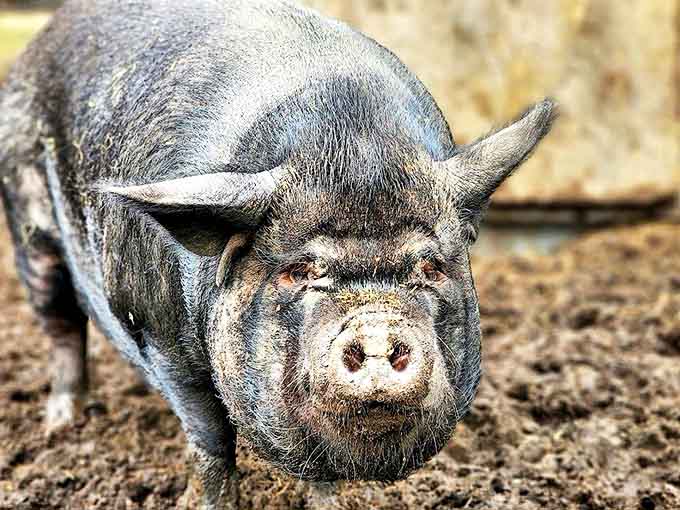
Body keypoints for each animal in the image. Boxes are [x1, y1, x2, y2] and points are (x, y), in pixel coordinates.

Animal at [0, 0, 556, 508]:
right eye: (300, 271)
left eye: (430, 266)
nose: (377, 326)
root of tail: (43, 35)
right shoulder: (160, 335)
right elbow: (211, 442)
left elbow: (321, 475)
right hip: (30, 229)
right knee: (61, 325)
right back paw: (62, 425)